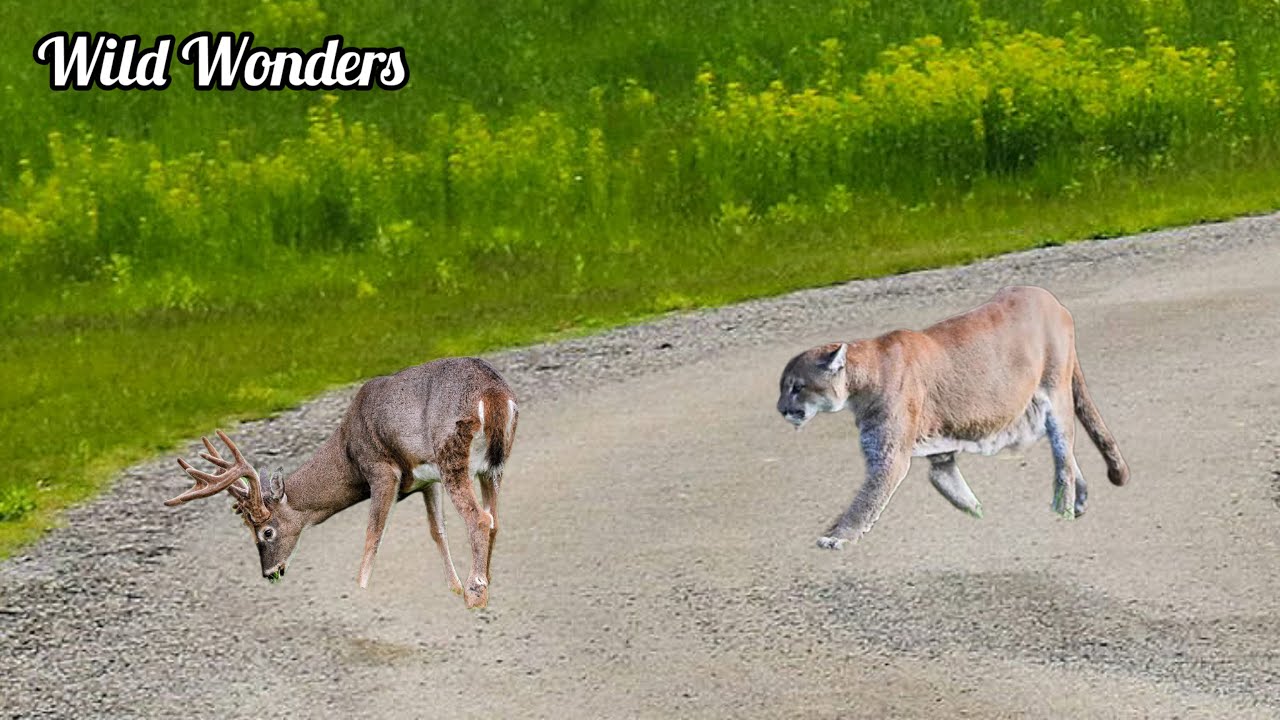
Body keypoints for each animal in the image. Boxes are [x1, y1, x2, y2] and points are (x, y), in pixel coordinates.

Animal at [164, 357, 519, 609]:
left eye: (266, 532)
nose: (270, 573)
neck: (348, 453)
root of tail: (494, 395)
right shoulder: (425, 478)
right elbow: (437, 531)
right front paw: (453, 586)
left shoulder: (381, 470)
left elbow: (372, 536)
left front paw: (359, 589)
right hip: (491, 466)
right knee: (494, 518)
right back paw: (482, 582)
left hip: (452, 456)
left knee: (479, 518)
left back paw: (476, 595)